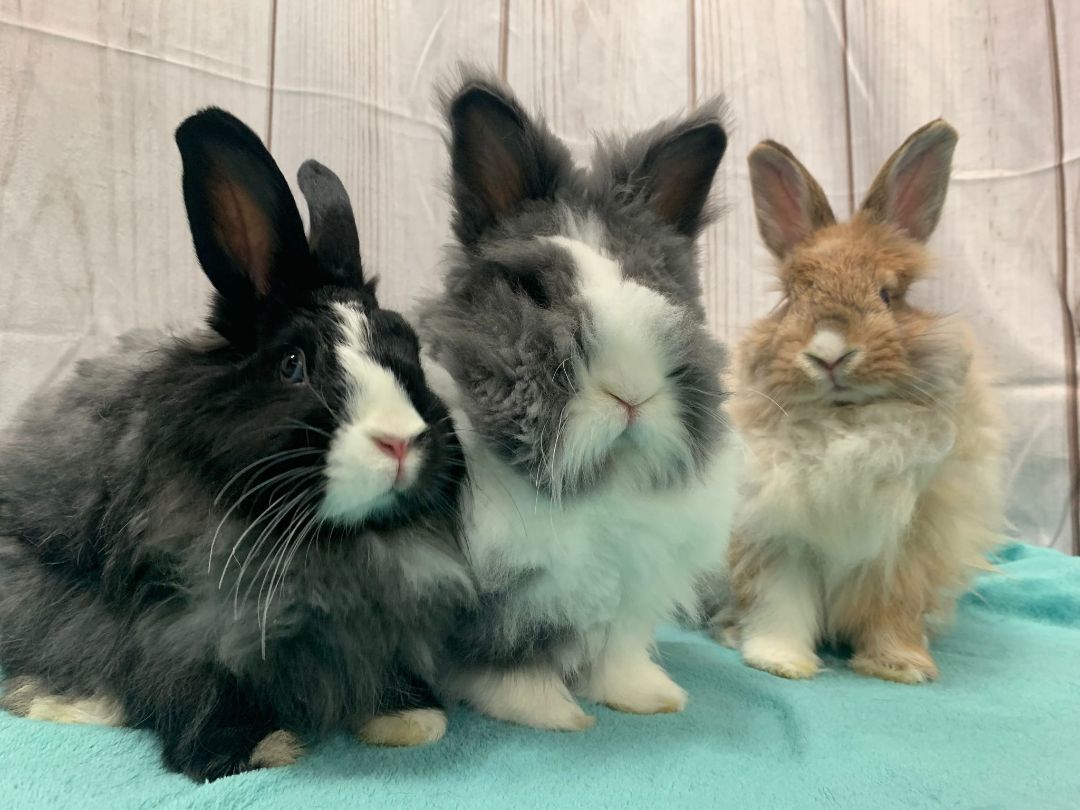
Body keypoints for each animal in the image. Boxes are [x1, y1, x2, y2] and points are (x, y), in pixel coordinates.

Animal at [0, 108, 473, 781]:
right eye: (294, 365)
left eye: (406, 347)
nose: (400, 441)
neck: (330, 543)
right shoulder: (183, 622)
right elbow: (198, 681)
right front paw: (249, 749)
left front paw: (411, 717)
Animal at [418, 69, 739, 731]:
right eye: (534, 292)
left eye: (662, 289)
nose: (631, 392)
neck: (596, 486)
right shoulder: (500, 595)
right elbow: (506, 657)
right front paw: (549, 711)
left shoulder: (627, 585)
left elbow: (615, 651)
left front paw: (649, 696)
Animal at [712, 120, 1004, 684]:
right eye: (791, 297)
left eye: (889, 295)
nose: (829, 353)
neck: (843, 422)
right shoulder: (778, 538)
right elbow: (780, 605)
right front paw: (779, 662)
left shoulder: (901, 553)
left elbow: (891, 614)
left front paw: (900, 666)